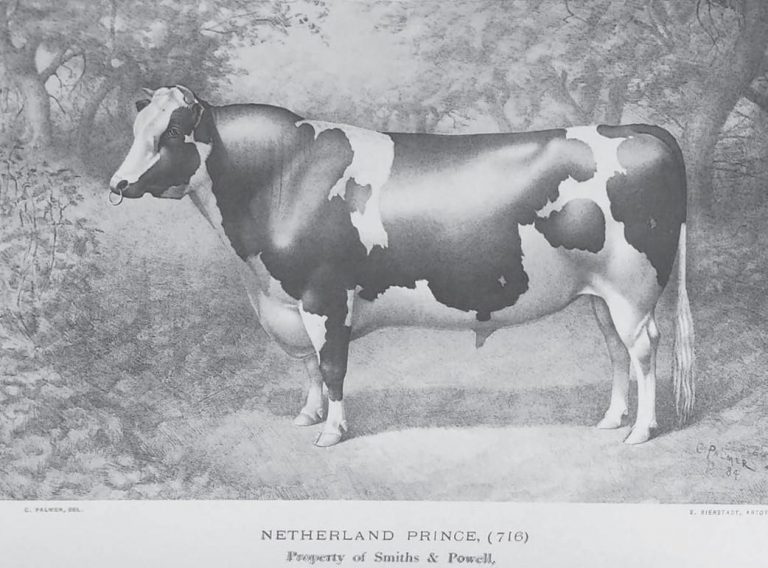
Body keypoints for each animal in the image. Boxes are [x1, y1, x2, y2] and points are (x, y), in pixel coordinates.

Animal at [109, 85, 694, 447]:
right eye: (137, 128)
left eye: (171, 133)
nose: (118, 183)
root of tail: (642, 129)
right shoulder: (289, 301)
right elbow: (308, 365)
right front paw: (307, 414)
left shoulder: (325, 295)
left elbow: (332, 366)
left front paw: (331, 432)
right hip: (601, 294)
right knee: (617, 351)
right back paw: (611, 419)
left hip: (633, 288)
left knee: (644, 349)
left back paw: (641, 430)